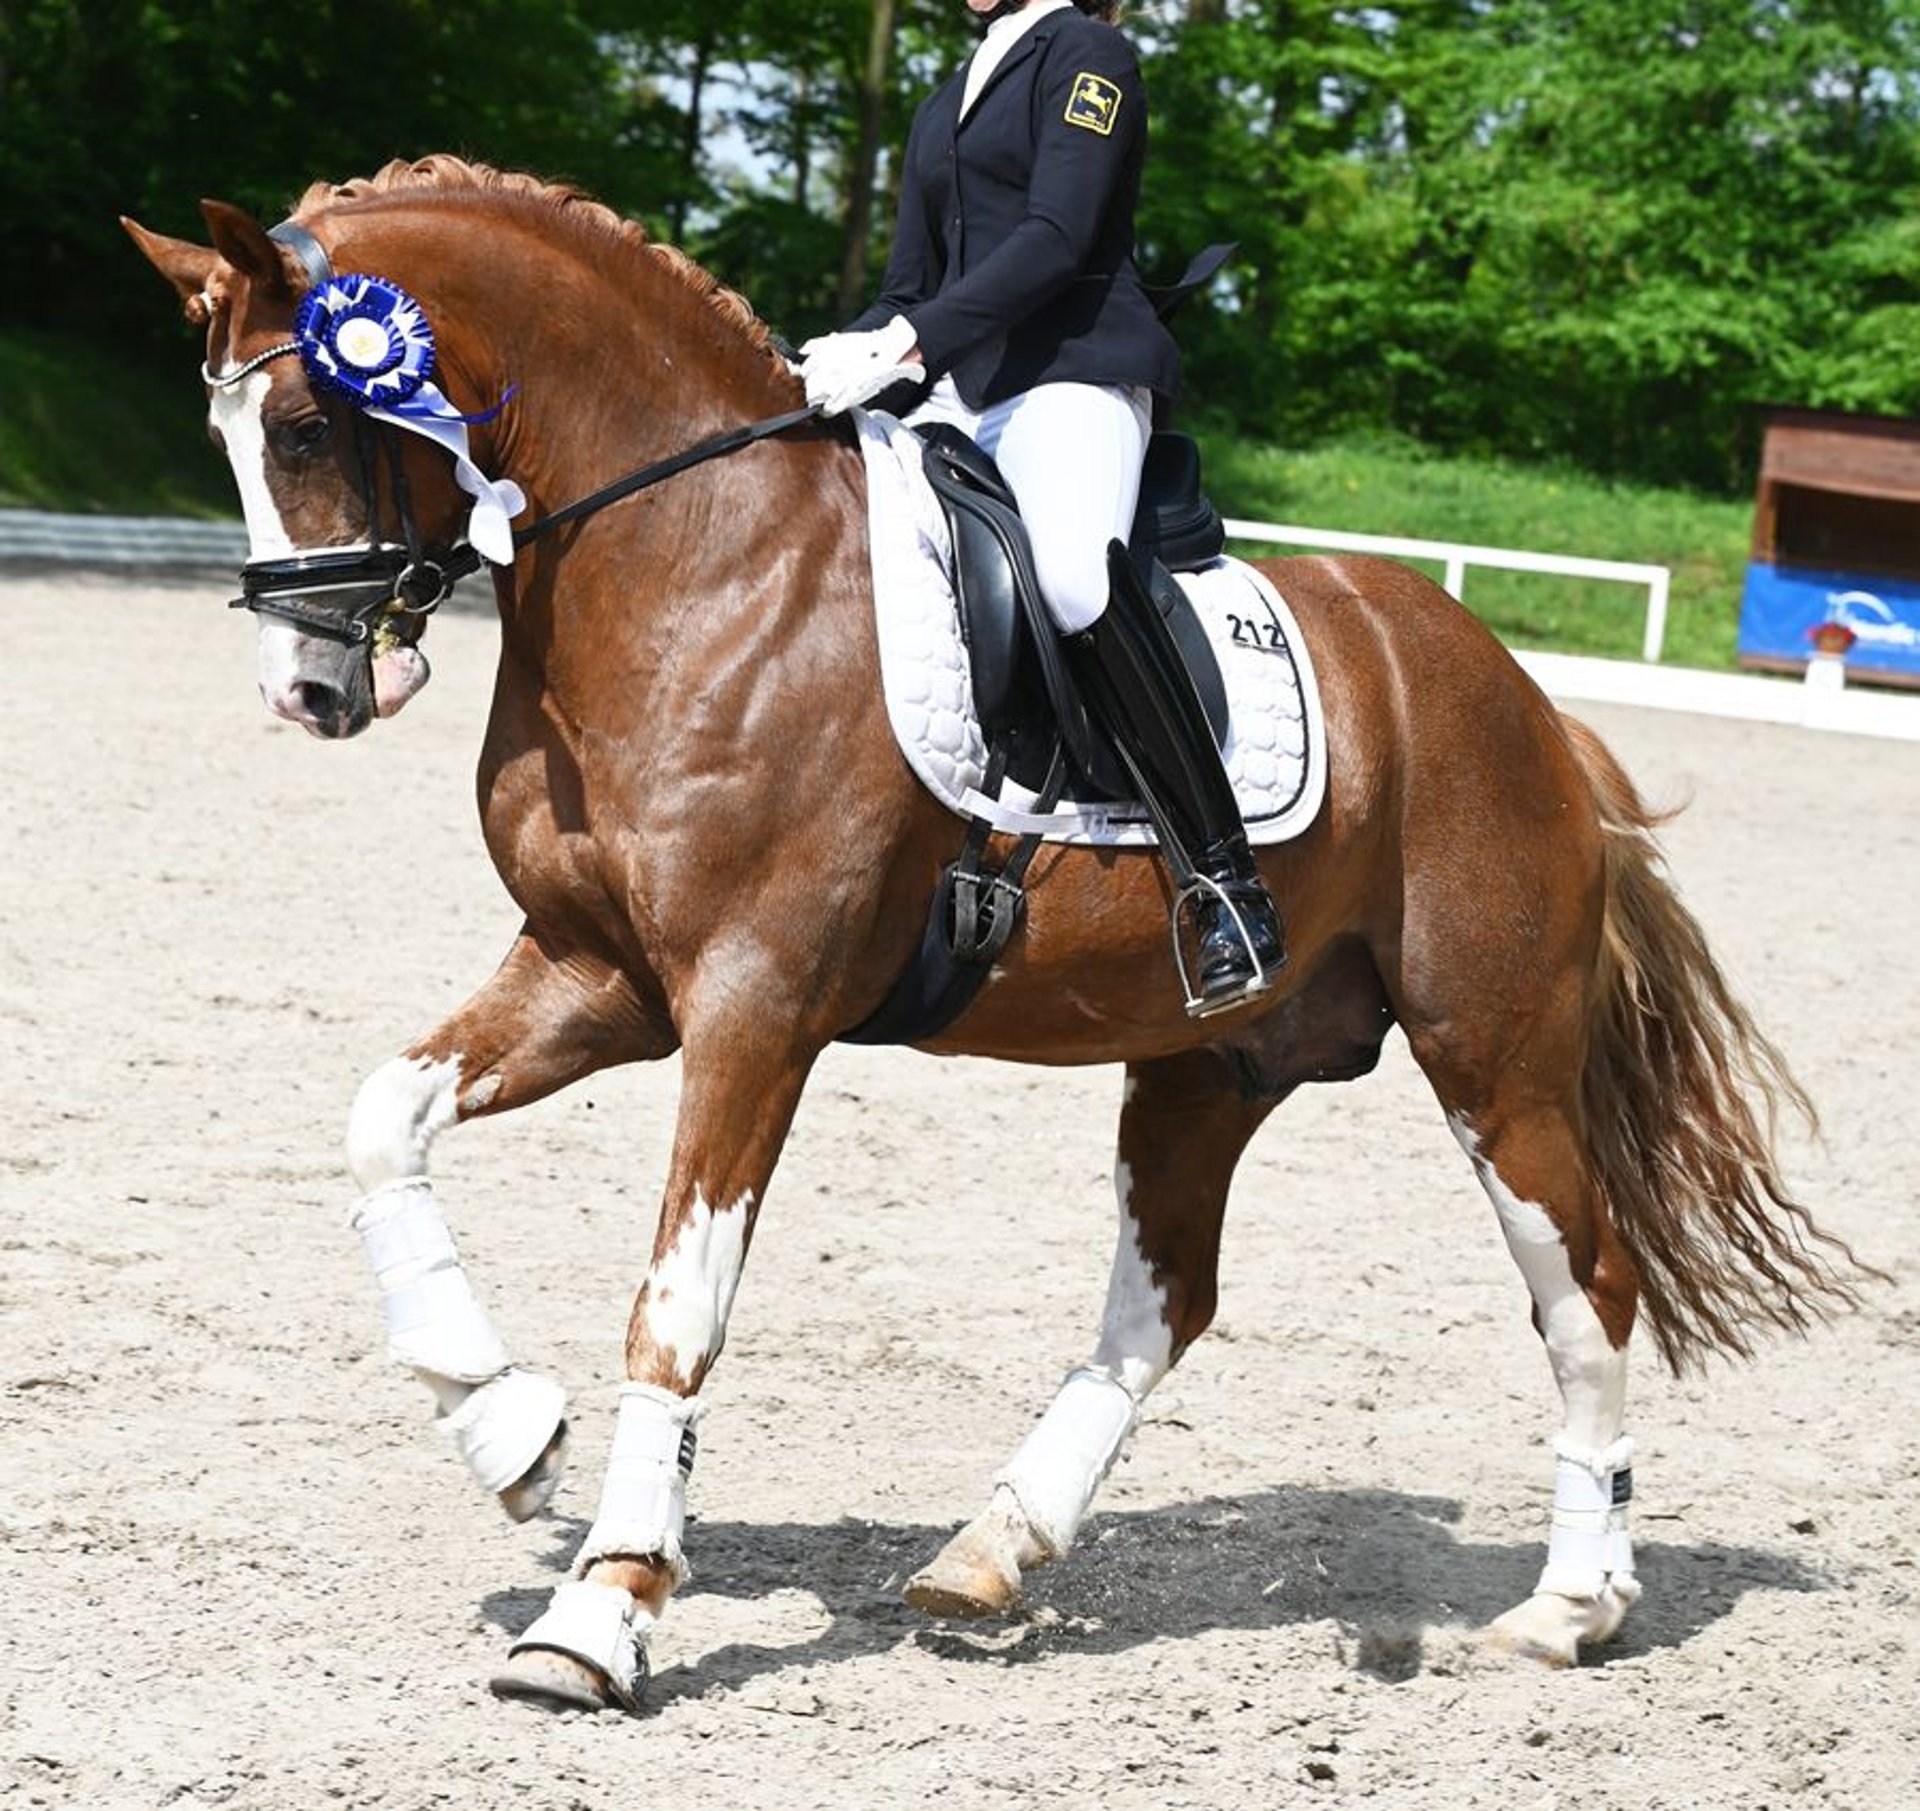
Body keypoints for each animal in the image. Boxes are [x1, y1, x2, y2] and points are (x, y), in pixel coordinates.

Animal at [124, 157, 1864, 1713]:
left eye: (303, 424)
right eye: (223, 434)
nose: (310, 690)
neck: (697, 559)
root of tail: (1523, 697)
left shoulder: (754, 1005)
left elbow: (678, 1305)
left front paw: (600, 1615)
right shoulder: (594, 975)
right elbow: (380, 1120)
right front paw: (505, 1423)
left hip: (1493, 1058)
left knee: (1590, 1286)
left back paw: (1571, 1605)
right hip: (1212, 1059)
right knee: (1165, 1302)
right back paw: (991, 1549)